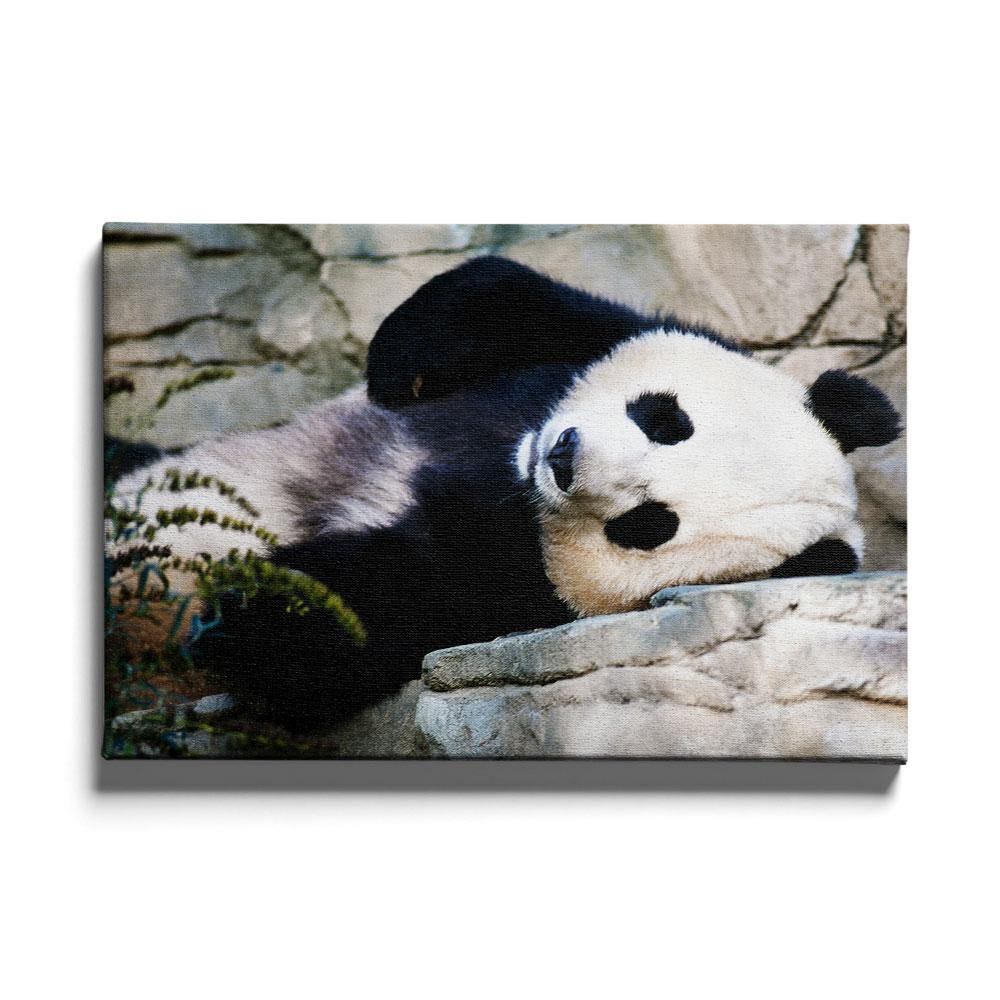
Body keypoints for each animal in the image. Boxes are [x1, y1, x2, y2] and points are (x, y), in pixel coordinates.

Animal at [112, 255, 901, 728]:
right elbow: (509, 296)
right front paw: (396, 366)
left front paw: (252, 605)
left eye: (649, 523)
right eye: (665, 418)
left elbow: (358, 624)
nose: (563, 456)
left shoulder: (515, 598)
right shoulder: (586, 342)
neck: (503, 473)